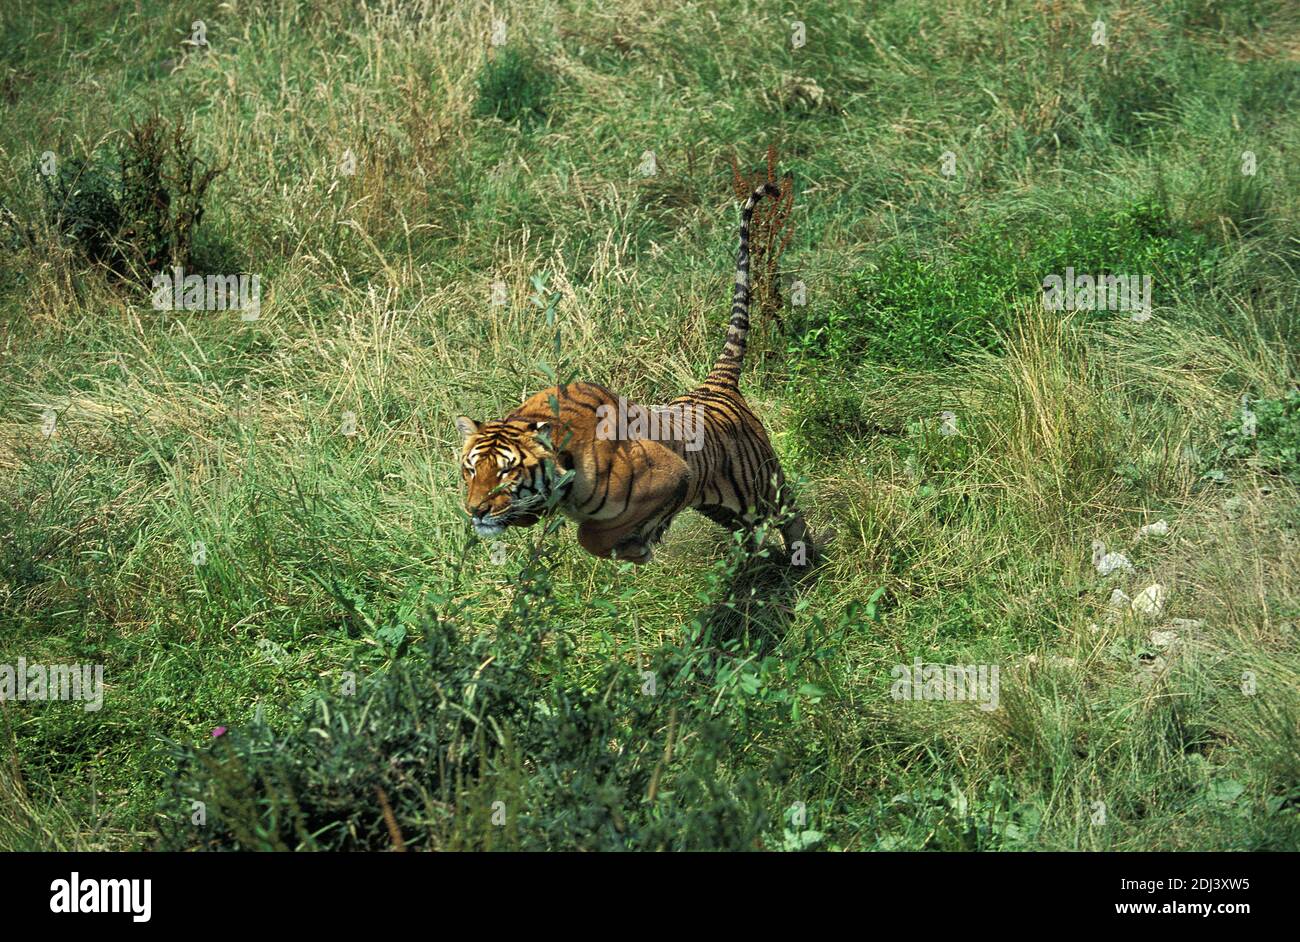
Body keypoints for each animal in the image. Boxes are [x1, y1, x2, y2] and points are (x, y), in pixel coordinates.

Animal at [455, 182, 822, 566]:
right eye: (471, 469)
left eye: (506, 471)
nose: (476, 511)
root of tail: (715, 384)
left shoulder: (671, 474)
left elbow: (590, 535)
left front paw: (637, 548)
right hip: (721, 507)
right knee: (749, 530)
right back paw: (754, 560)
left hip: (760, 485)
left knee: (791, 517)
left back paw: (805, 561)